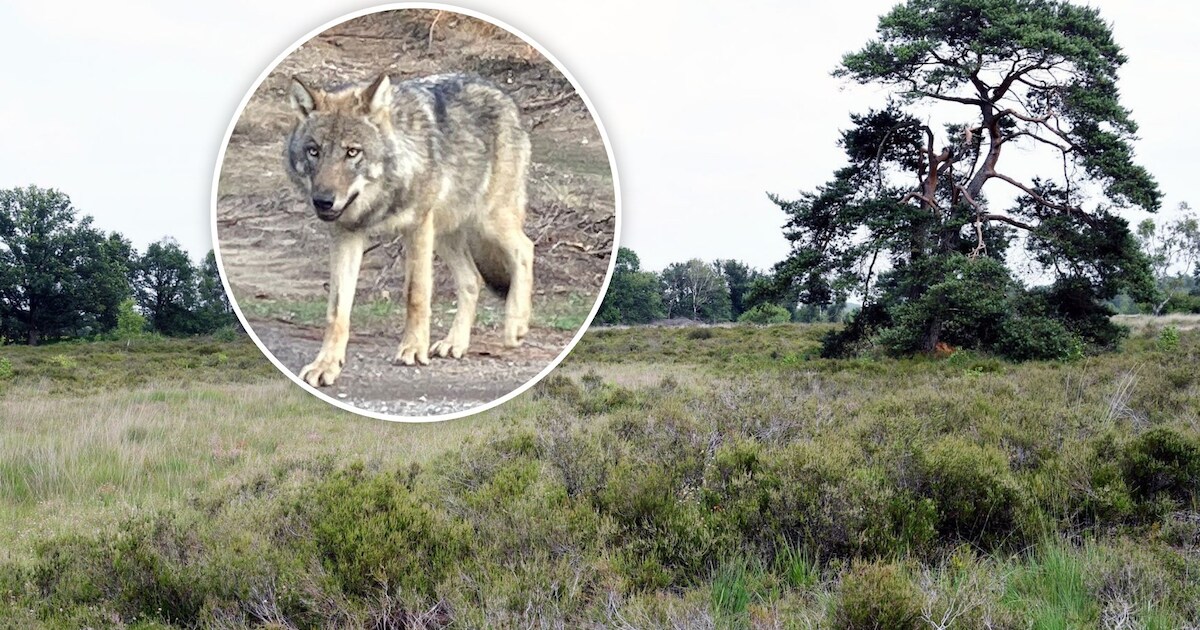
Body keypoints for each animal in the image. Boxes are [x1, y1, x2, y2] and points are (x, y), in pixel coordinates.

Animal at [284, 72, 534, 388]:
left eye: (352, 152)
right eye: (314, 151)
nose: (323, 201)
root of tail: (504, 94)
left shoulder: (417, 226)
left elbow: (416, 293)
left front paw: (413, 349)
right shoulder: (346, 235)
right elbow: (337, 310)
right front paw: (326, 364)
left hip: (487, 221)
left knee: (525, 249)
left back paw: (516, 326)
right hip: (446, 234)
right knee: (472, 279)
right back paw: (455, 343)